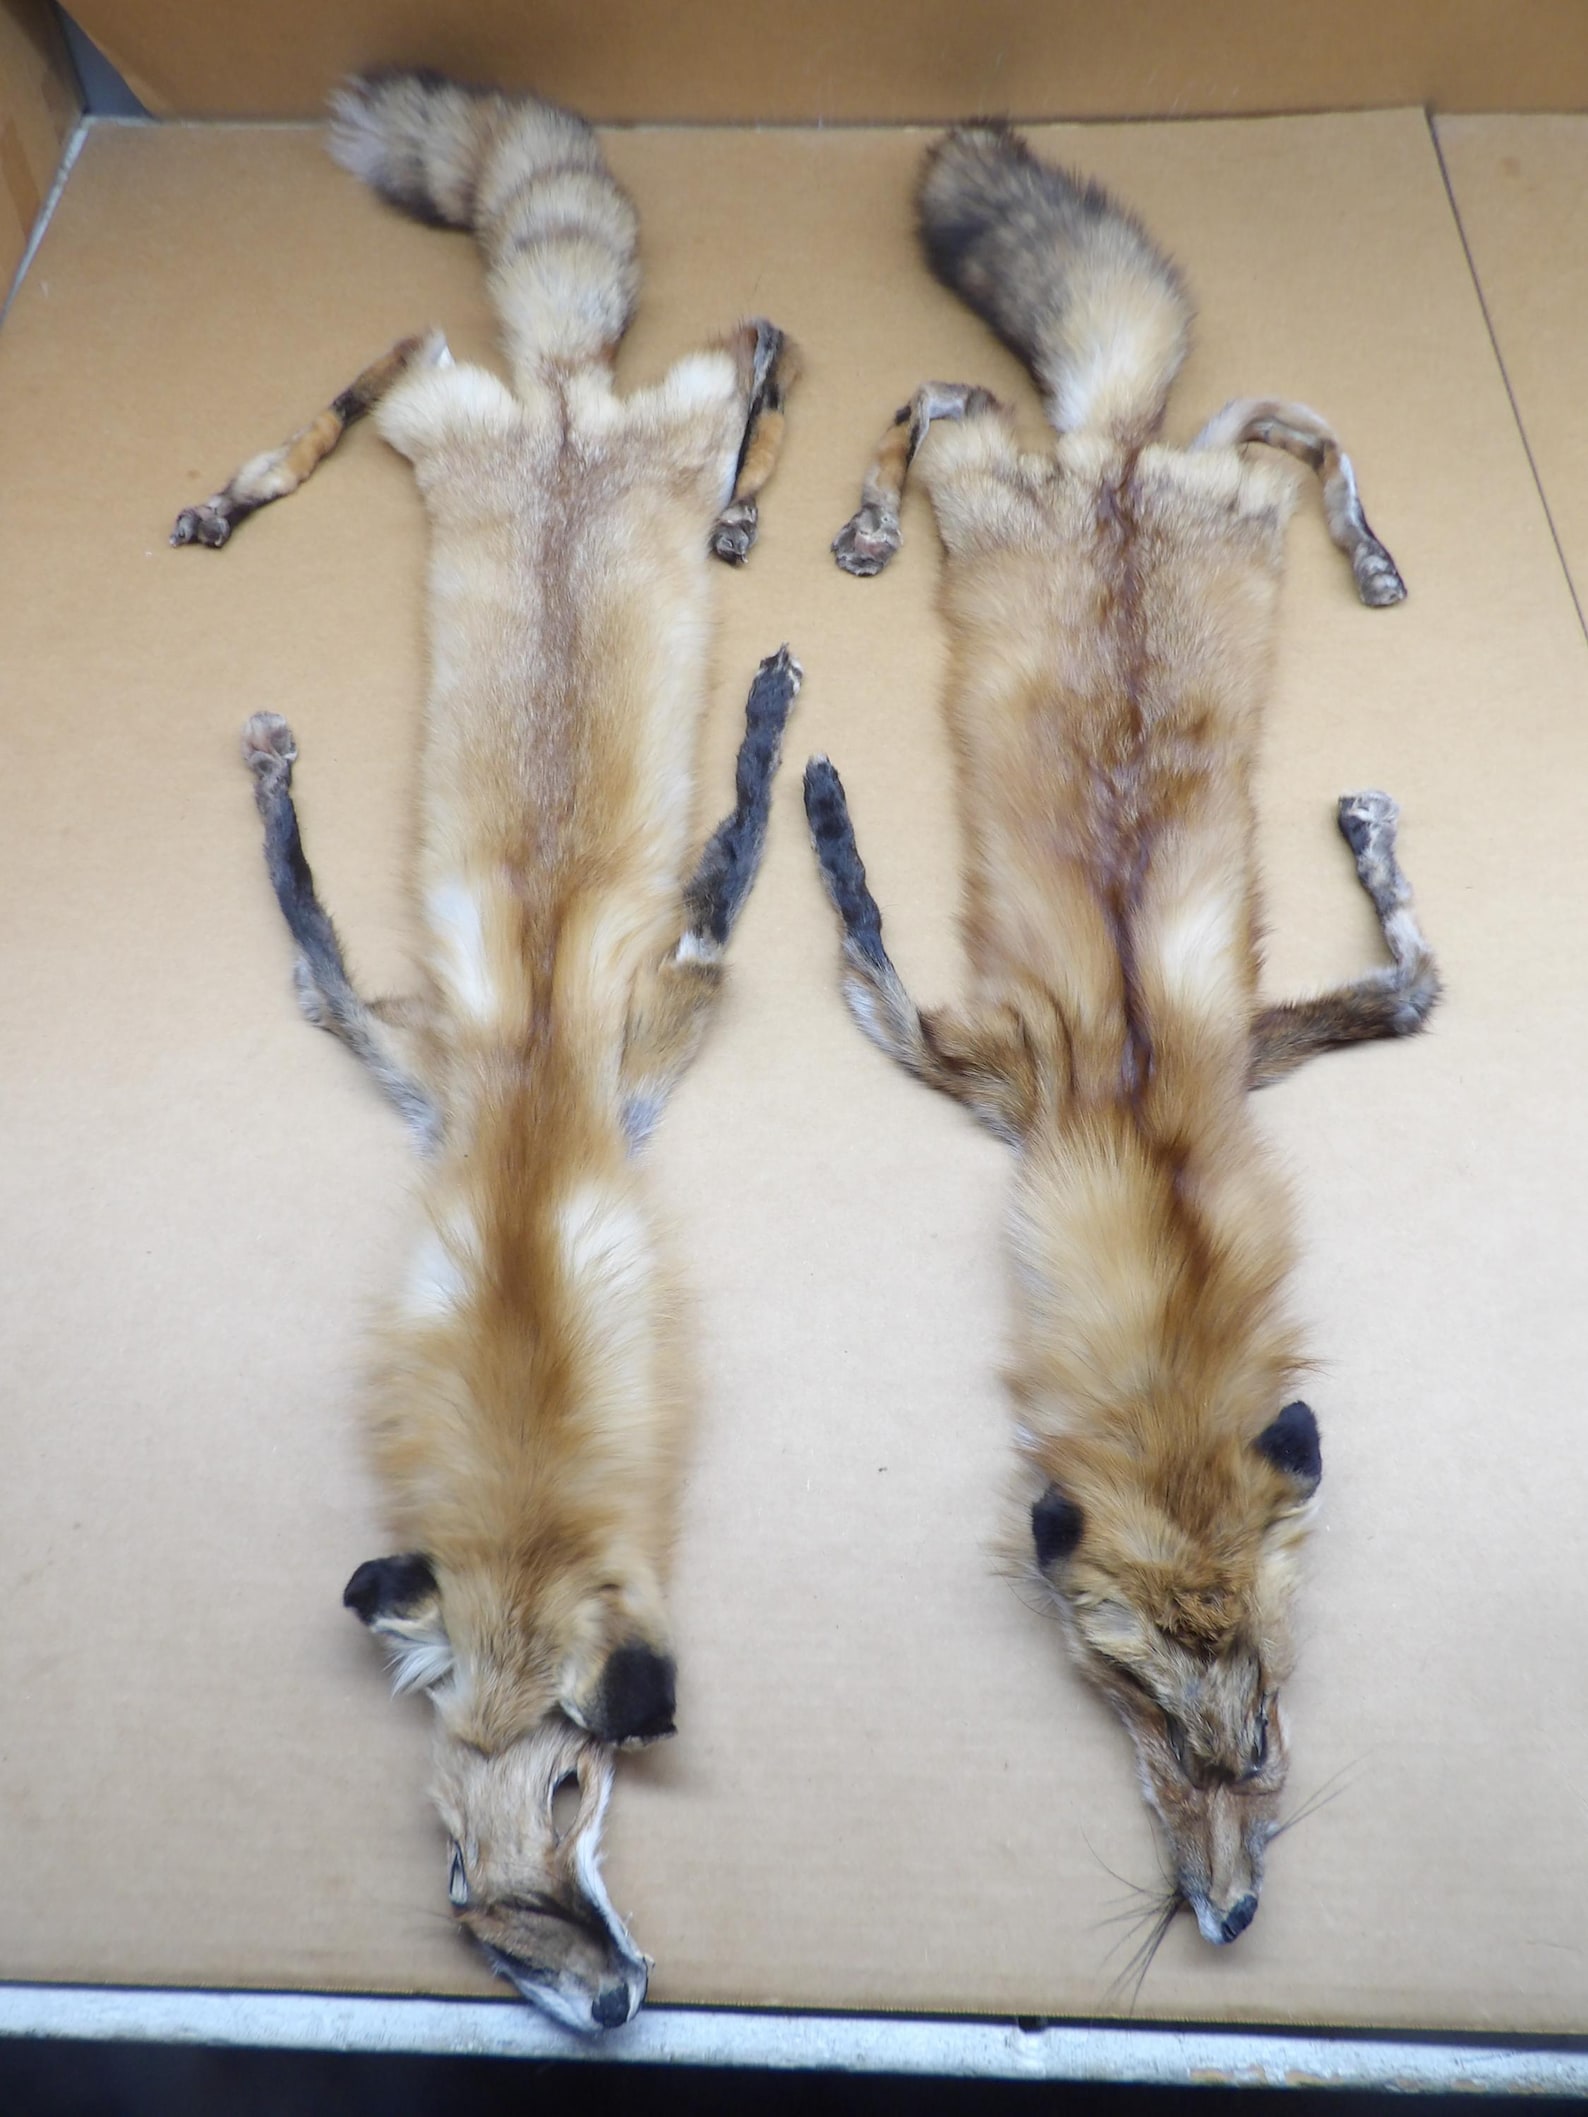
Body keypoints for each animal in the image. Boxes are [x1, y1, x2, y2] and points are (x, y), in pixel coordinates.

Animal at [173, 69, 801, 2030]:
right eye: (468, 1900)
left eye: (577, 1789)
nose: (602, 2011)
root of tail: (569, 405)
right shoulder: (428, 1068)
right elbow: (312, 953)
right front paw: (277, 794)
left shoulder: (639, 1040)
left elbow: (722, 881)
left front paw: (771, 729)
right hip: (452, 419)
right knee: (402, 351)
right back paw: (241, 484)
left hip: (645, 413)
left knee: (757, 344)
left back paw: (753, 519)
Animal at [806, 124, 1438, 1960]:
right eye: (1153, 1729)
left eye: (1268, 1730)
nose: (1227, 1920)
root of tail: (1103, 464)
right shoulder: (993, 1066)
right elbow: (861, 939)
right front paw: (810, 804)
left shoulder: (1239, 1041)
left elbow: (1412, 984)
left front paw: (1376, 839)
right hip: (991, 489)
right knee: (941, 398)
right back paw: (854, 513)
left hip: (1218, 506)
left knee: (1272, 420)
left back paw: (1372, 549)